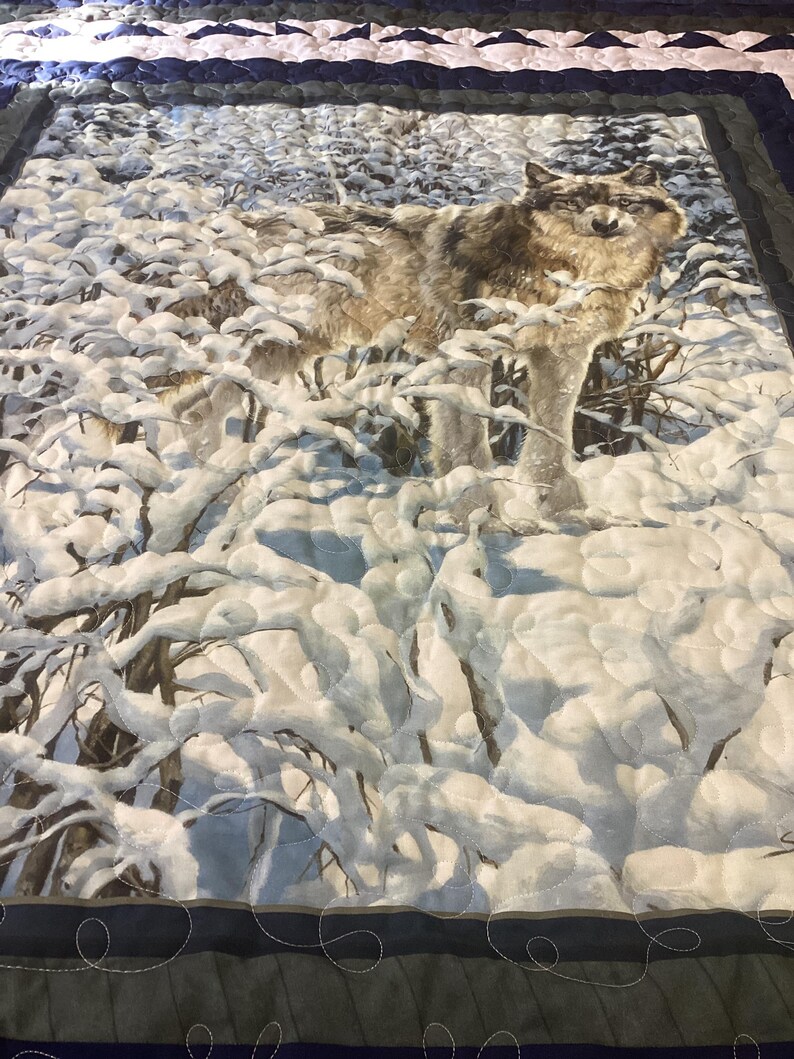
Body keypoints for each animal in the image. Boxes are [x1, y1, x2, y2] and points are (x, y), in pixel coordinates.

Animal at [166, 161, 686, 525]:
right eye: (574, 204)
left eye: (625, 202)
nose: (604, 224)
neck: (566, 276)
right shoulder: (468, 354)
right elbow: (470, 445)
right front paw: (480, 515)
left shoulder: (563, 356)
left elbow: (551, 439)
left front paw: (566, 513)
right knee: (191, 412)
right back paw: (215, 504)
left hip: (273, 358)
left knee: (191, 413)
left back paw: (211, 500)